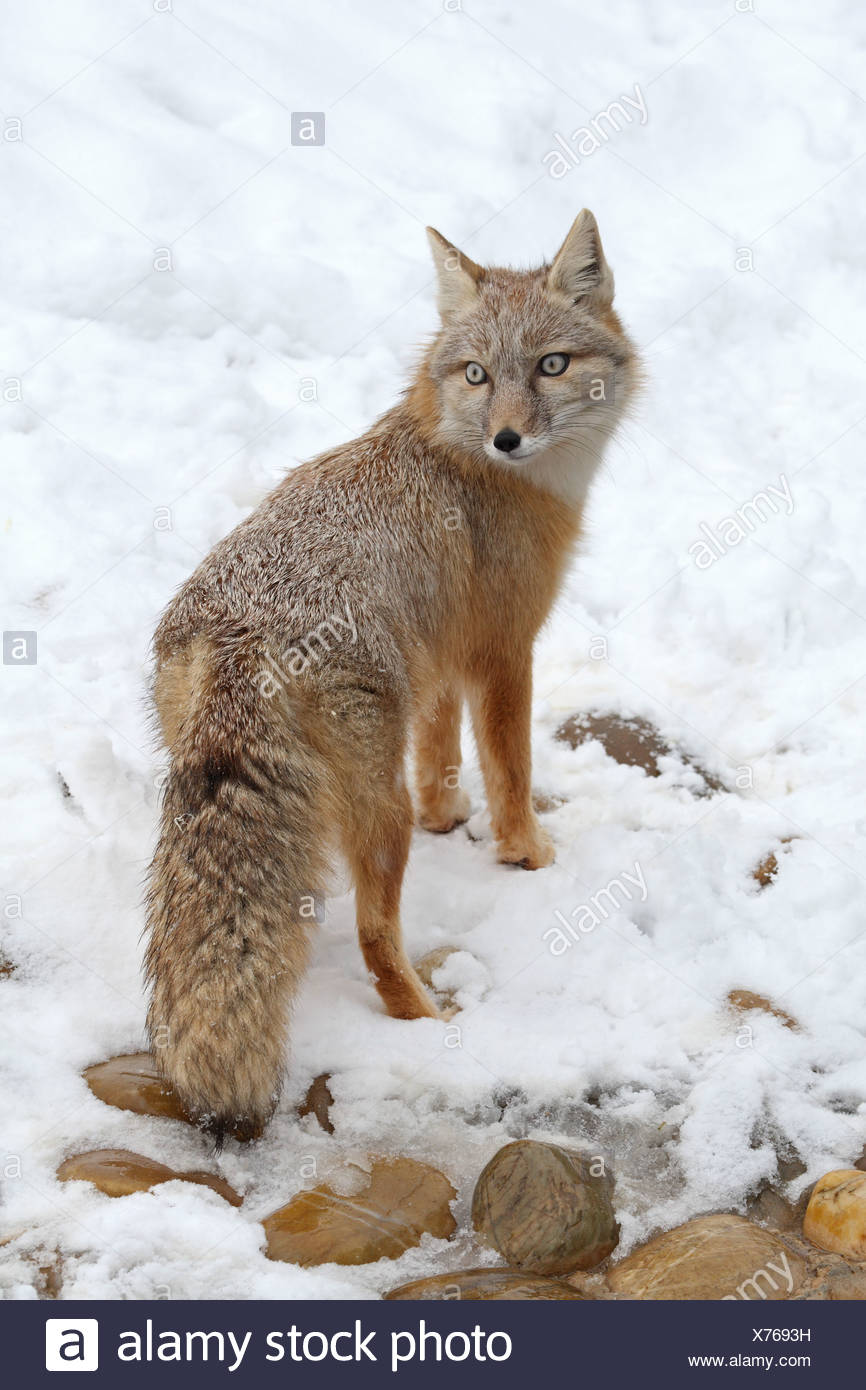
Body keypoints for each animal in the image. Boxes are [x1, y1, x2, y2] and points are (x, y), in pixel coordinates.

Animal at [144, 209, 639, 1141]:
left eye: (550, 365)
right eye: (478, 375)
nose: (507, 437)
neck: (465, 456)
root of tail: (240, 629)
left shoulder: (439, 662)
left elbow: (441, 753)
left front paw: (453, 817)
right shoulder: (505, 653)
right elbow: (510, 768)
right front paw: (528, 854)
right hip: (379, 815)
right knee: (377, 935)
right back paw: (425, 1019)